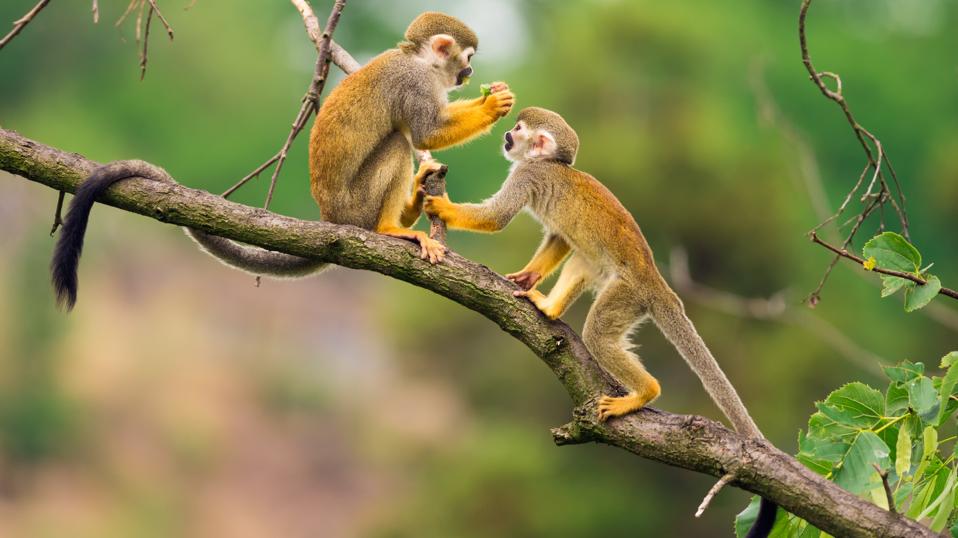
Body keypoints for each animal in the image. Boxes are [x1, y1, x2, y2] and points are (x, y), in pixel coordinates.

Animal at [51, 12, 514, 309]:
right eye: (467, 59)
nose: (470, 75)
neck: (420, 61)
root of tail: (330, 219)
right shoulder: (414, 83)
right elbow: (424, 133)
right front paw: (493, 106)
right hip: (356, 206)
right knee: (398, 144)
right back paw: (390, 228)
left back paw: (415, 201)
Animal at [423, 107, 777, 538]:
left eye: (518, 130)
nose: (506, 135)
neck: (549, 164)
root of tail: (656, 281)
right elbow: (559, 238)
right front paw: (527, 277)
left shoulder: (528, 176)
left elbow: (498, 218)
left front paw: (442, 208)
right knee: (582, 256)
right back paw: (550, 309)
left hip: (628, 295)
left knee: (598, 332)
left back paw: (644, 393)